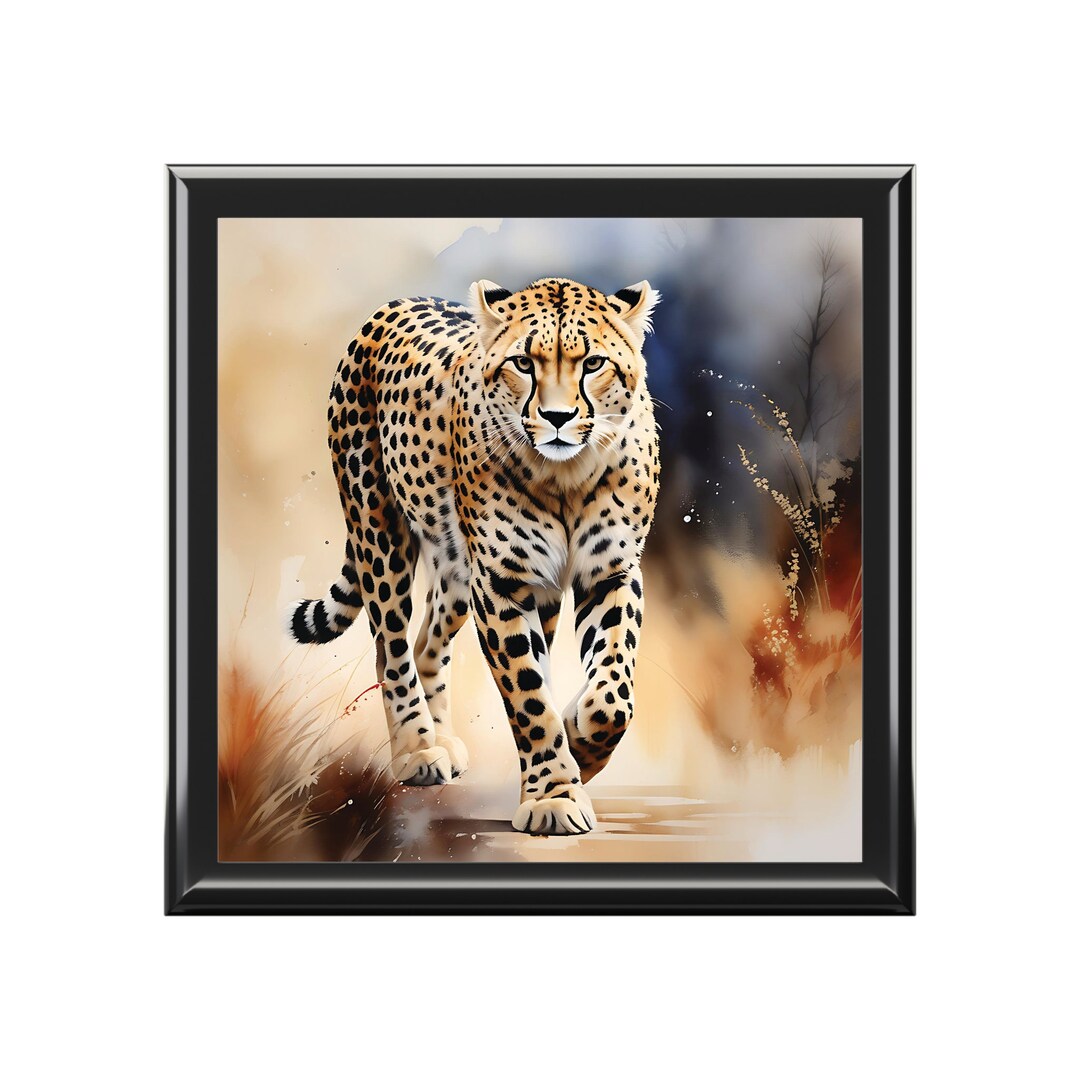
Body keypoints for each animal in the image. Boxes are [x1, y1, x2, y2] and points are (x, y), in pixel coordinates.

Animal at [287, 276, 660, 835]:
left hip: (461, 576)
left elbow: (613, 695)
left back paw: (444, 737)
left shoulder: (609, 572)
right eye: (523, 363)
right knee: (391, 647)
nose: (557, 418)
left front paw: (580, 746)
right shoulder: (503, 583)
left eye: (593, 364)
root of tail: (392, 304)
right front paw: (553, 796)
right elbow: (528, 695)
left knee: (428, 643)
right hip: (379, 532)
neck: (566, 475)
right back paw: (418, 751)